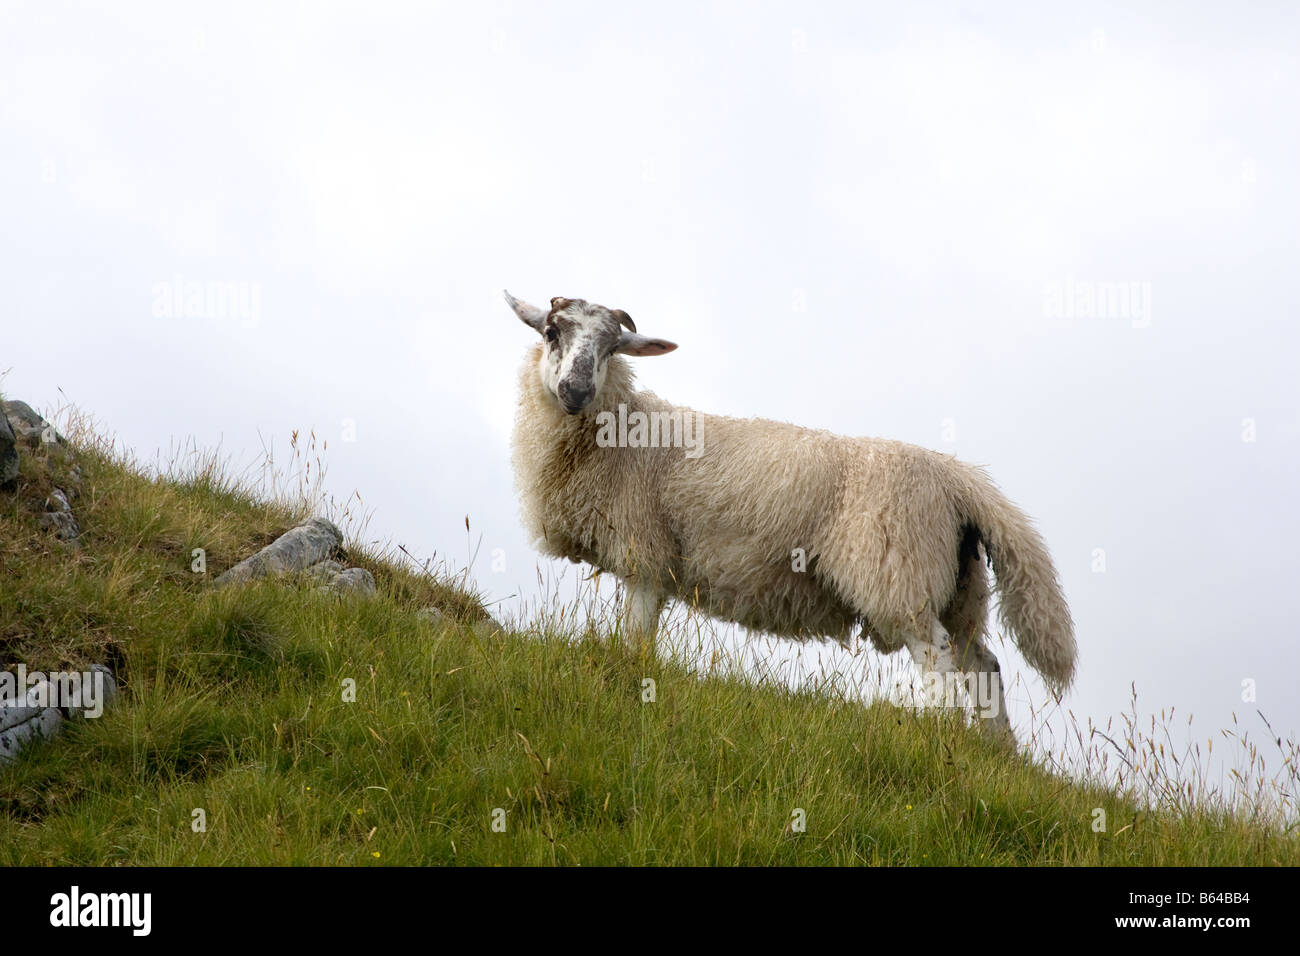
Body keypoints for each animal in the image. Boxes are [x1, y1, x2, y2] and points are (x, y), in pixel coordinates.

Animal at [506, 291, 1076, 738]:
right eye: (553, 332)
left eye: (612, 346)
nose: (576, 391)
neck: (623, 434)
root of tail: (961, 479)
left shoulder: (646, 554)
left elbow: (634, 644)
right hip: (961, 587)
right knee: (983, 665)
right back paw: (996, 756)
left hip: (898, 574)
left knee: (938, 660)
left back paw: (936, 733)